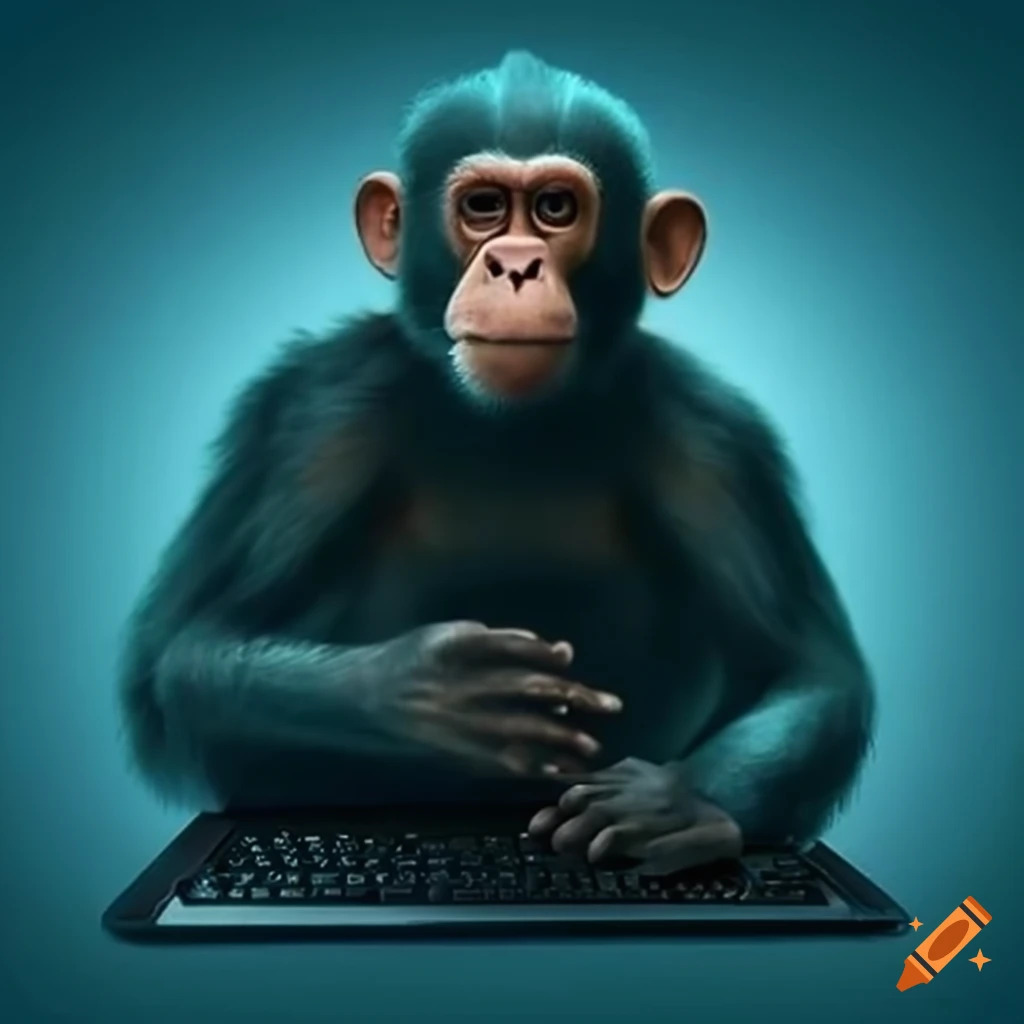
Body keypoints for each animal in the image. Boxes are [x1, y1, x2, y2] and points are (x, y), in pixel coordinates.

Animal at [119, 52, 874, 875]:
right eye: (483, 206)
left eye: (555, 207)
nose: (515, 265)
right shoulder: (313, 418)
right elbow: (188, 649)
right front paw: (427, 689)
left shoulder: (718, 444)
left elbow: (809, 670)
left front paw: (672, 802)